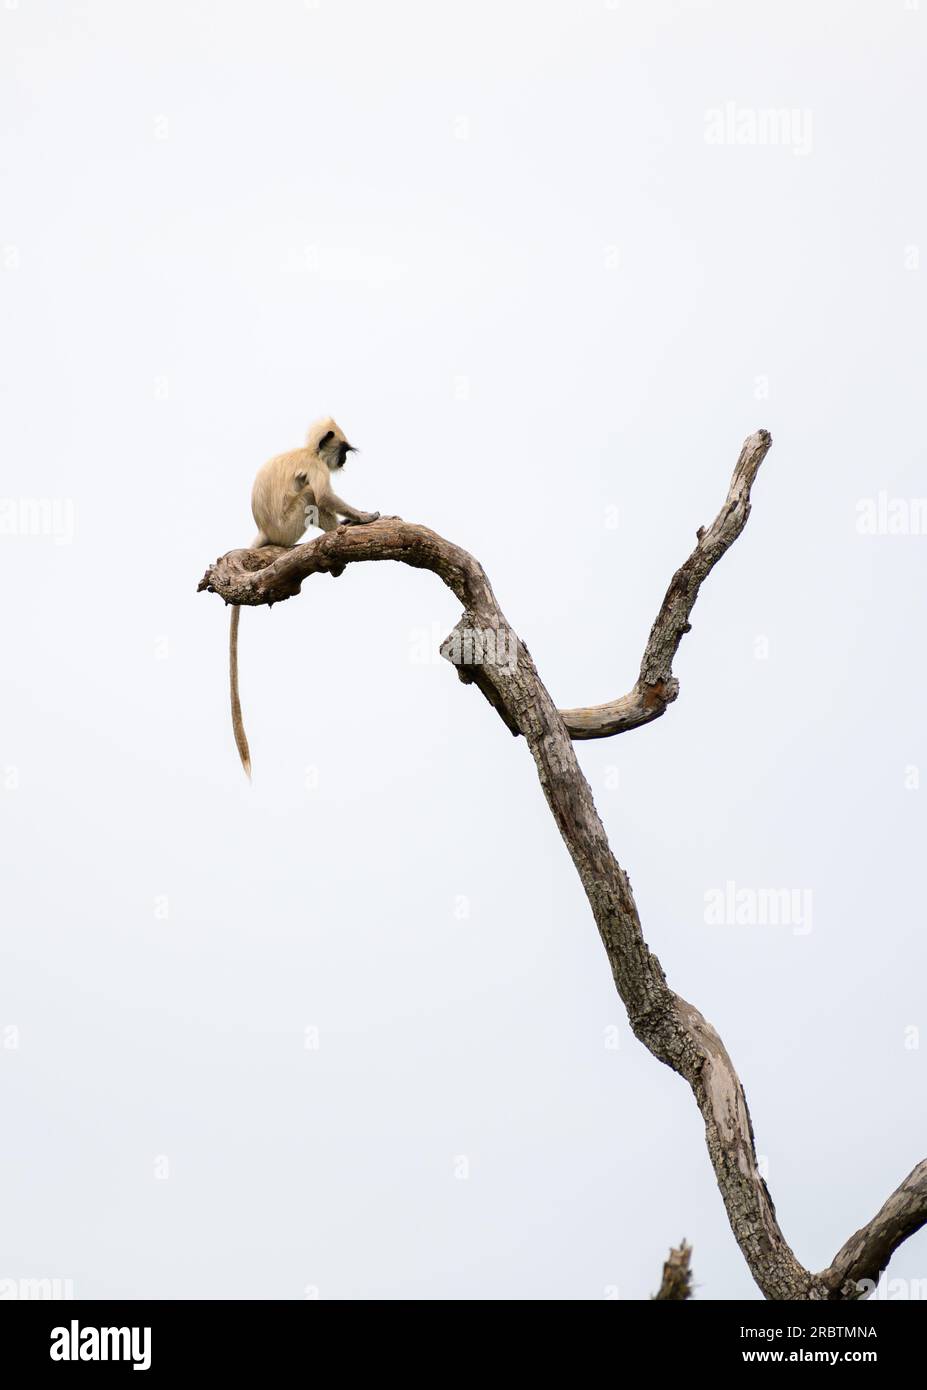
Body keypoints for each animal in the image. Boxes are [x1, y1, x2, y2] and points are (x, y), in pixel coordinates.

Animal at [230, 417, 379, 778]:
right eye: (342, 450)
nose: (344, 460)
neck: (307, 450)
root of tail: (268, 532)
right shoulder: (315, 466)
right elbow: (323, 493)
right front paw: (363, 517)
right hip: (291, 523)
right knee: (312, 494)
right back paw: (335, 534)